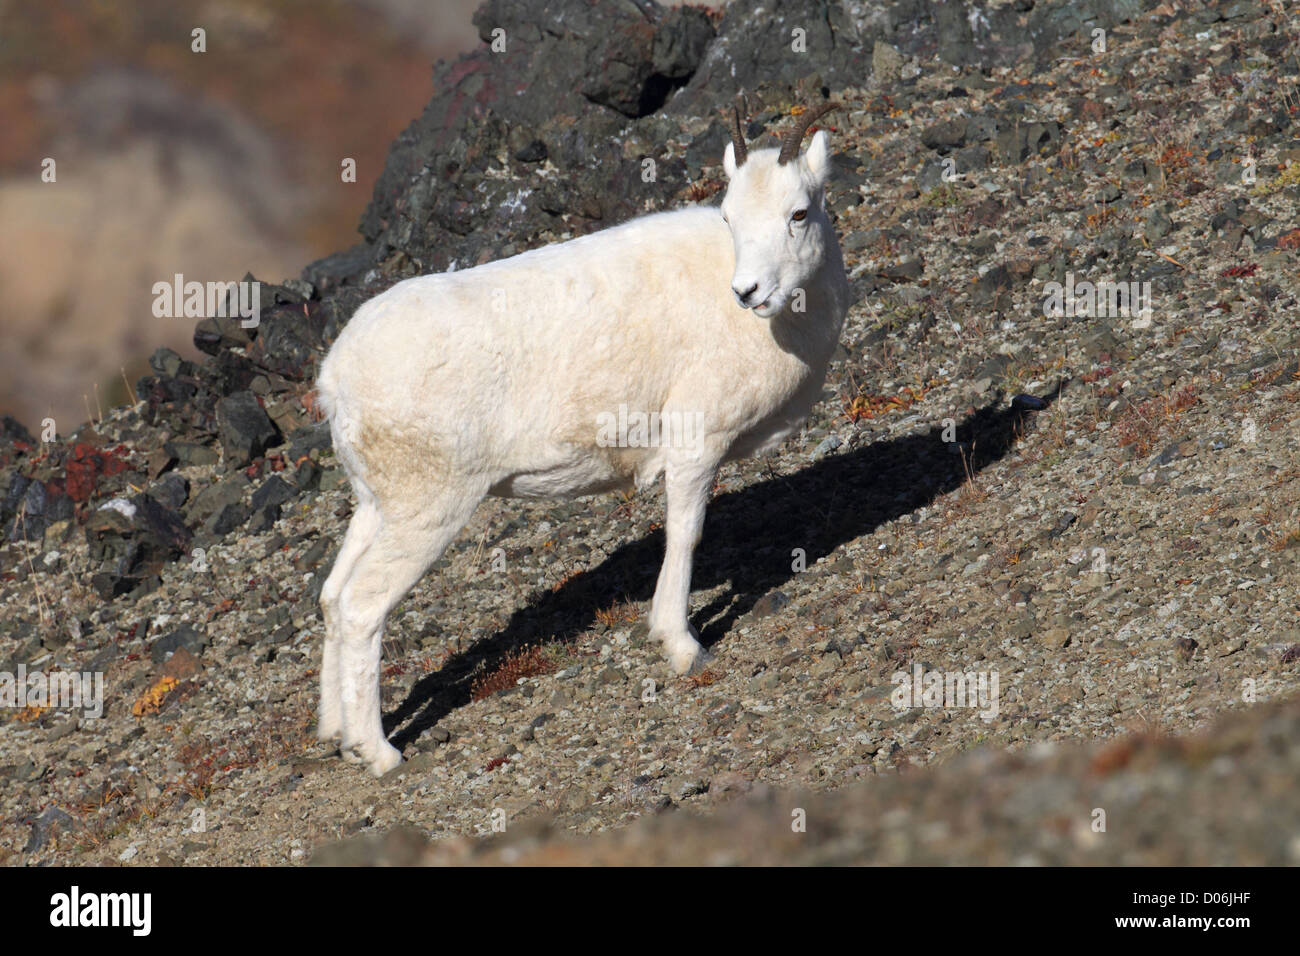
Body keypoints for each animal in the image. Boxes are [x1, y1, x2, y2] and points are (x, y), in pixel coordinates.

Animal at [314, 101, 851, 775]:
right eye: (730, 216)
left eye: (798, 213)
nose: (748, 293)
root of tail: (336, 379)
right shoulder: (696, 445)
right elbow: (686, 534)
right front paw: (682, 648)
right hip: (426, 510)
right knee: (361, 605)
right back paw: (380, 753)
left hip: (374, 506)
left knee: (332, 597)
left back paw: (335, 735)